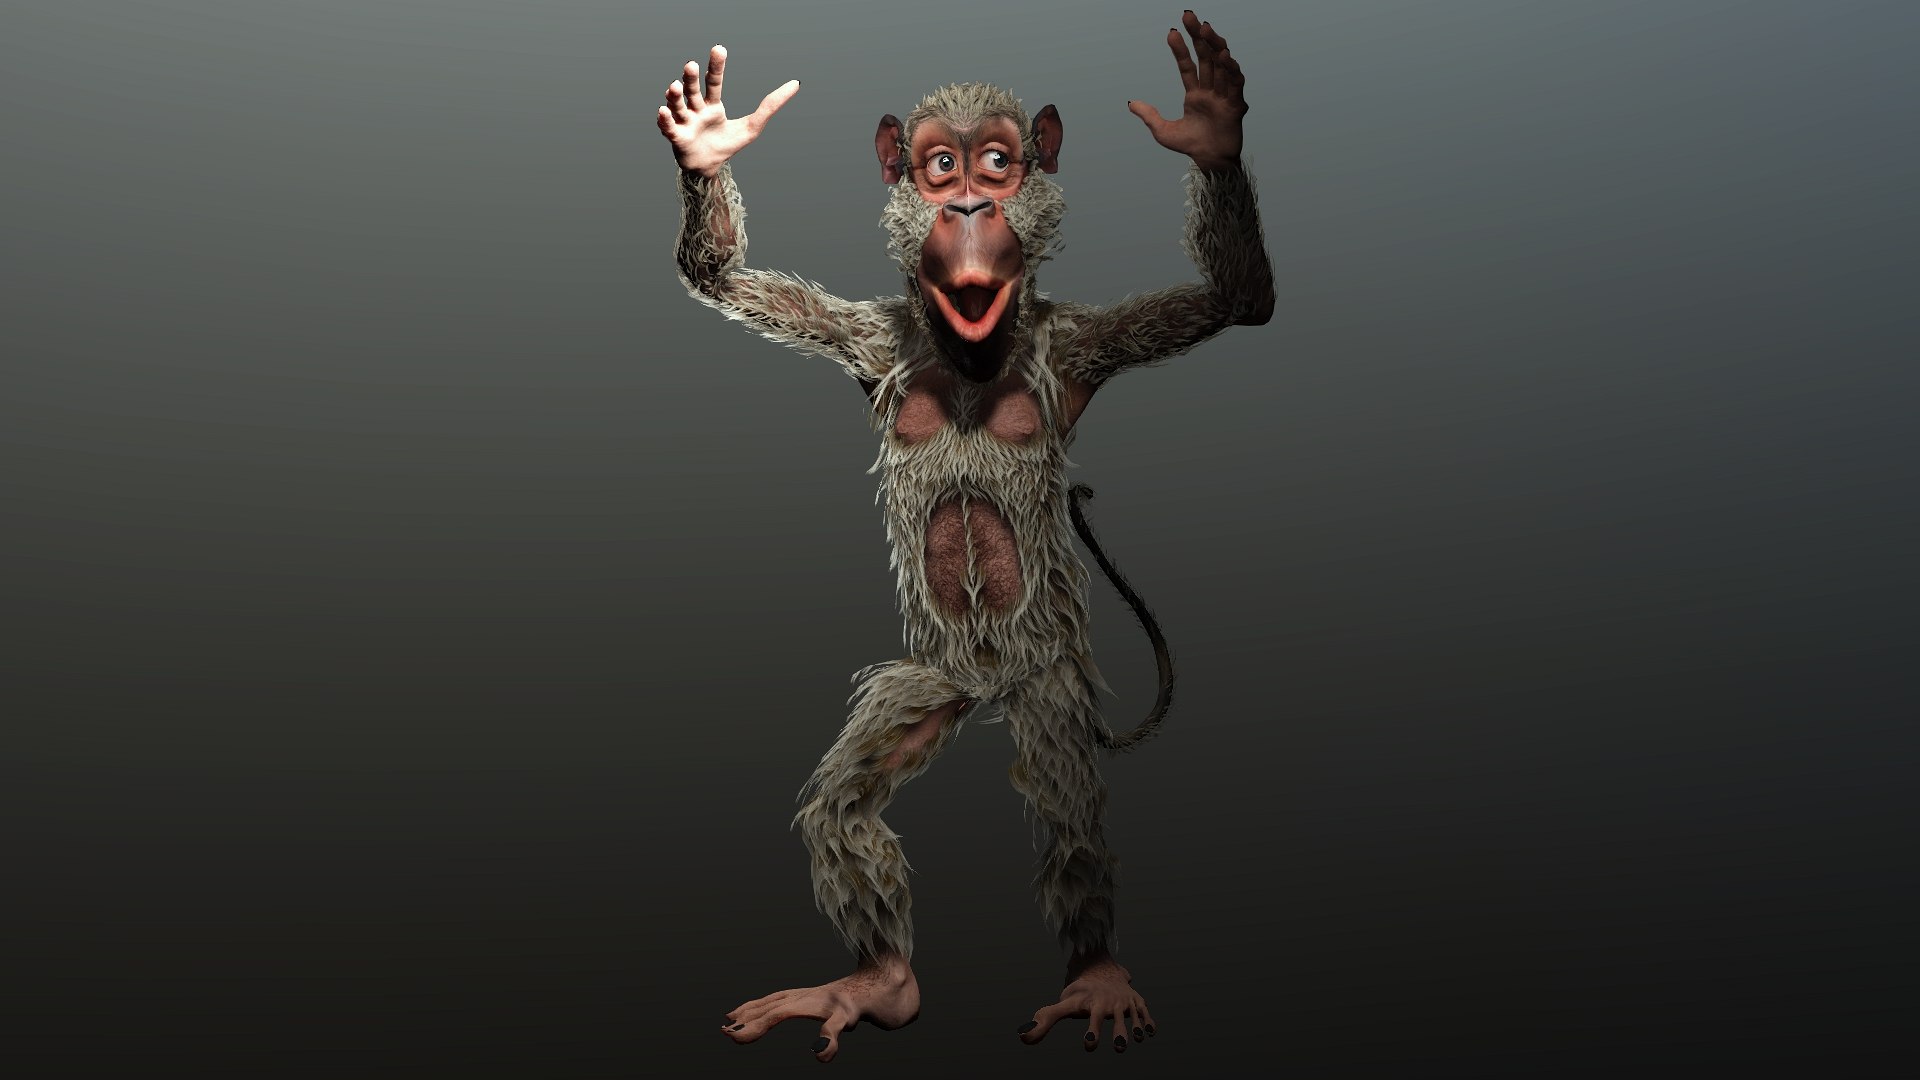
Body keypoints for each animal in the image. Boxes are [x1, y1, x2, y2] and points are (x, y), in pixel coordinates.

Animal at [657, 10, 1273, 1062]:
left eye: (998, 162)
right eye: (939, 169)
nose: (974, 204)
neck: (971, 355)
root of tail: (983, 684)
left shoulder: (1079, 349)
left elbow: (1235, 300)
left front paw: (1211, 127)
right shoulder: (866, 339)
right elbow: (721, 275)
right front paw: (707, 144)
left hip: (1047, 675)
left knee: (1067, 801)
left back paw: (1092, 970)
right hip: (924, 682)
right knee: (842, 806)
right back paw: (881, 981)